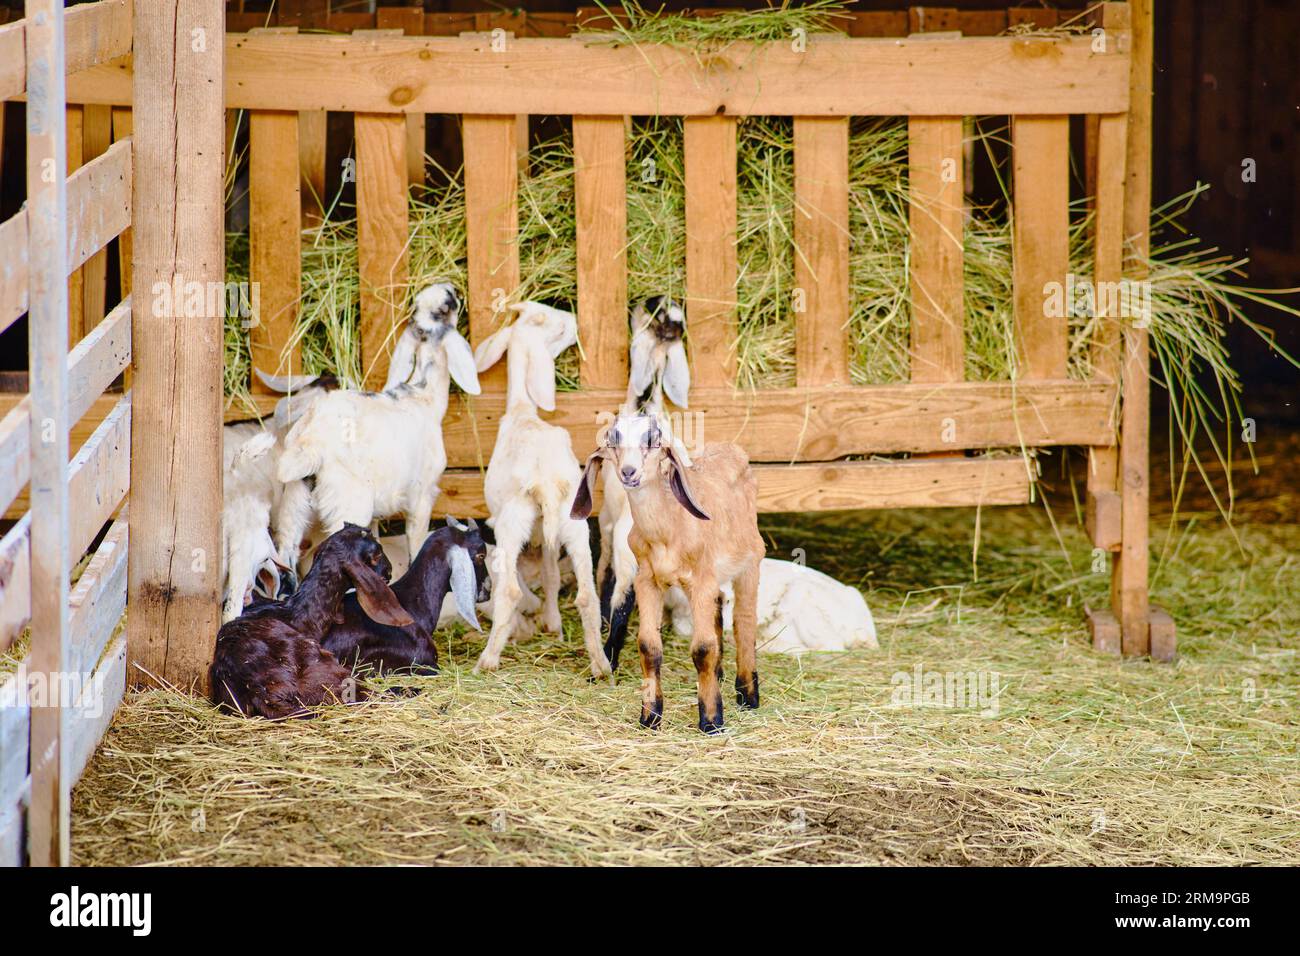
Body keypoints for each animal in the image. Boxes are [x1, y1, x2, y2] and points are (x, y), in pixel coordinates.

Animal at [277, 283, 480, 564]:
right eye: (447, 305)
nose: (453, 288)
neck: (423, 394)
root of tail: (311, 442)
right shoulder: (422, 496)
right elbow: (416, 545)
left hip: (293, 505)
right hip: (349, 503)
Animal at [471, 301, 610, 680]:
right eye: (556, 329)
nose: (573, 320)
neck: (523, 411)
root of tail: (546, 481)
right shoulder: (546, 532)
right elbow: (549, 575)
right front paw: (553, 625)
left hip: (512, 523)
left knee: (509, 590)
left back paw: (487, 659)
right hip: (574, 522)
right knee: (587, 595)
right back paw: (601, 665)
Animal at [572, 413, 764, 733]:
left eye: (652, 440)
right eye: (613, 440)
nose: (628, 471)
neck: (671, 524)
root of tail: (730, 449)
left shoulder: (701, 580)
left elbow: (702, 648)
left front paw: (711, 720)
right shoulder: (647, 580)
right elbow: (649, 646)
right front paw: (650, 716)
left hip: (751, 560)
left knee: (744, 621)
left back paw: (748, 695)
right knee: (719, 608)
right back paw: (721, 675)